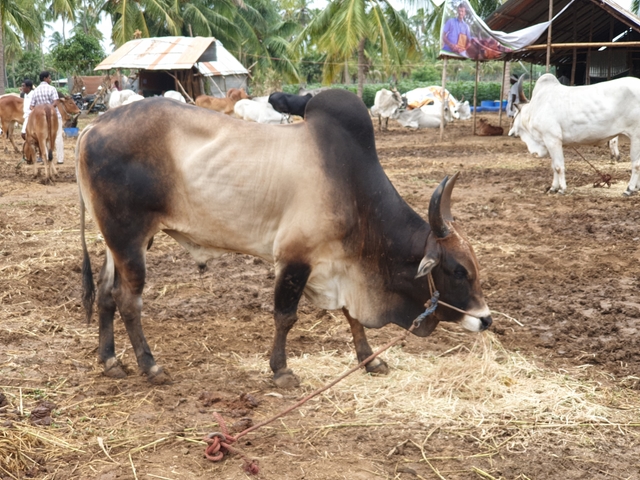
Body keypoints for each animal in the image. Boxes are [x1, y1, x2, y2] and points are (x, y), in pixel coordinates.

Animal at [77, 91, 492, 387]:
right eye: (458, 271)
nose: (486, 319)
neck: (355, 190)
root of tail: (93, 127)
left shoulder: (337, 263)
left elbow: (351, 316)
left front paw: (370, 360)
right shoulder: (295, 258)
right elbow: (285, 316)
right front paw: (281, 371)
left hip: (117, 243)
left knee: (106, 293)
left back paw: (110, 360)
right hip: (129, 238)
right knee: (129, 301)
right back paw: (150, 366)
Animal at [509, 74, 640, 195]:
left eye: (514, 113)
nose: (511, 133)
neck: (534, 108)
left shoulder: (552, 139)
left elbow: (558, 167)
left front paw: (561, 189)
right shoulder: (550, 142)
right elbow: (553, 166)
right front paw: (553, 188)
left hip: (636, 136)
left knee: (636, 164)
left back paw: (629, 189)